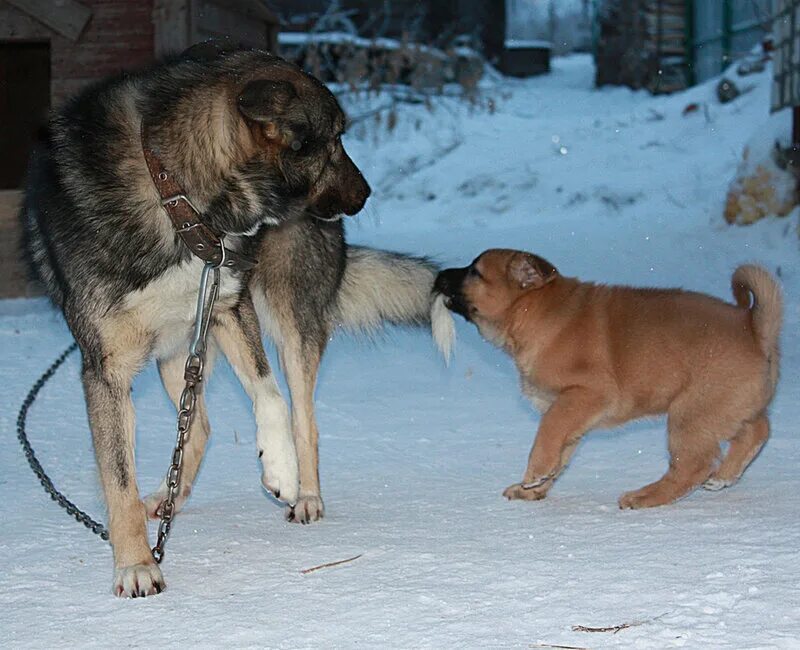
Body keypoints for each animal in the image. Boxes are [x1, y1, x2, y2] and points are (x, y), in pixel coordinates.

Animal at [434, 248, 784, 506]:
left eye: (475, 272)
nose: (438, 275)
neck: (535, 314)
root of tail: (753, 328)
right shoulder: (570, 412)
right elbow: (561, 452)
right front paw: (532, 489)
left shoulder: (583, 395)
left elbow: (547, 434)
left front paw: (534, 473)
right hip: (725, 408)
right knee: (758, 430)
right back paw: (724, 476)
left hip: (690, 415)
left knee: (692, 467)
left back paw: (645, 497)